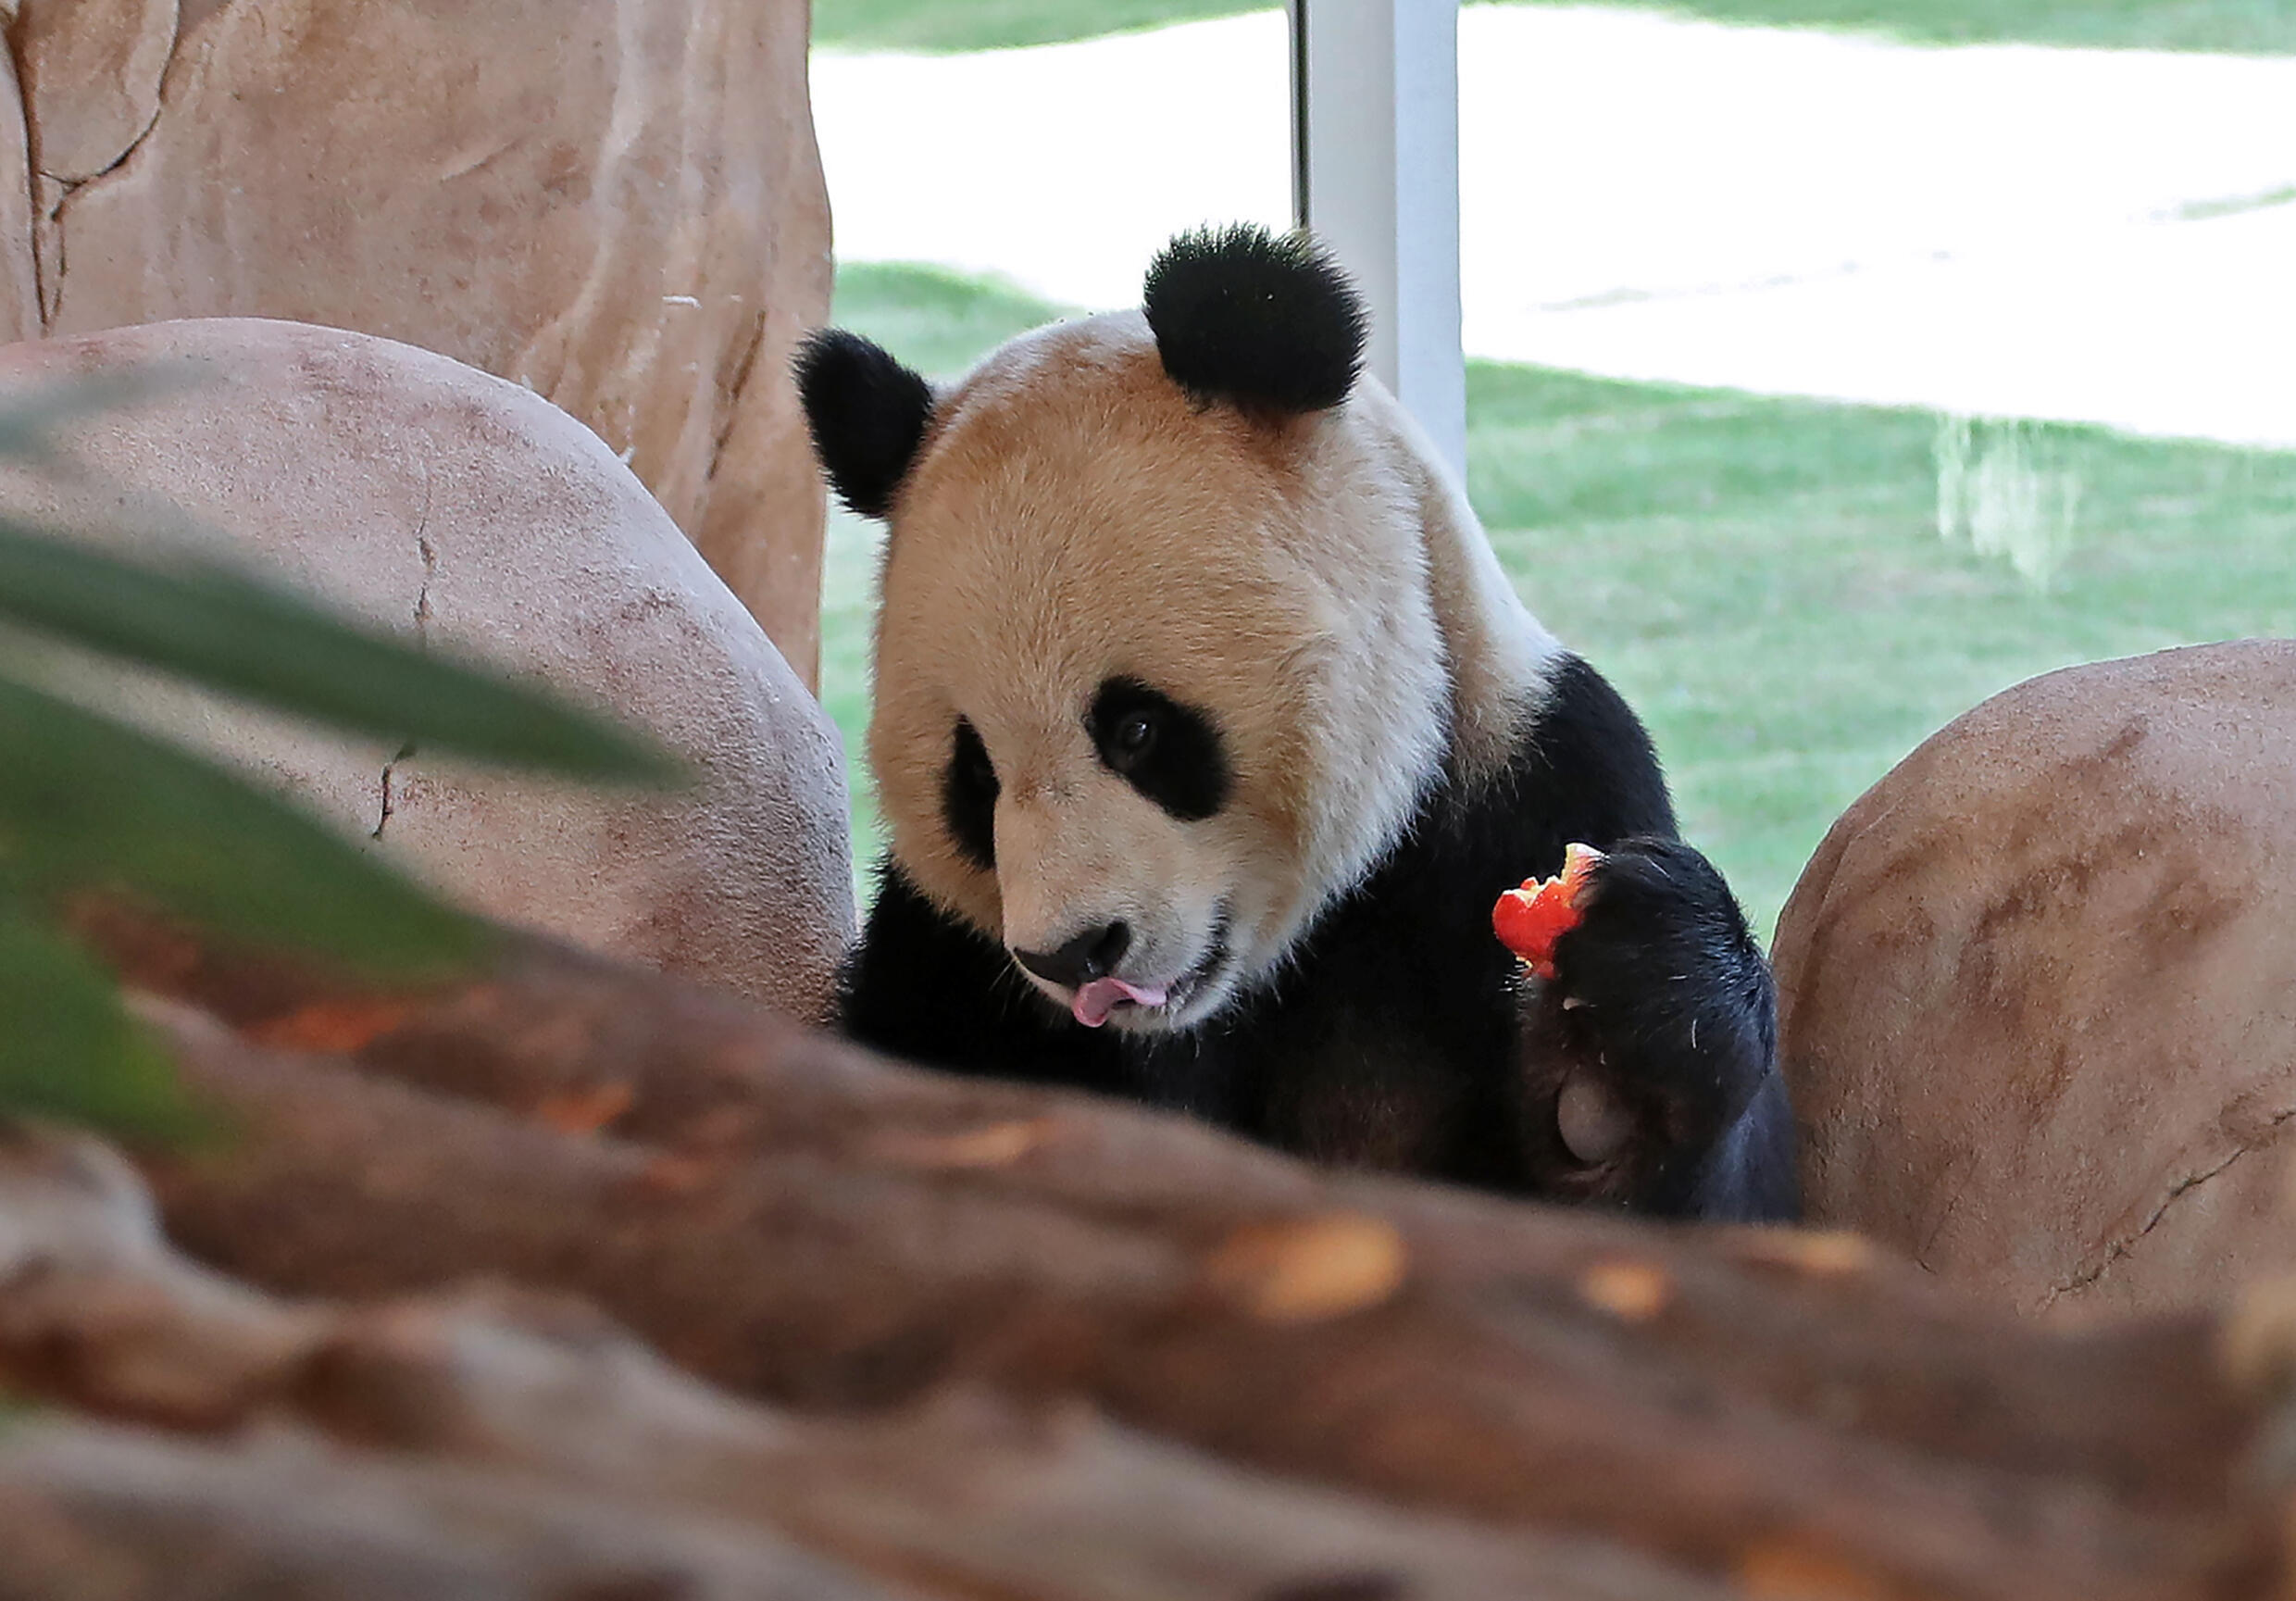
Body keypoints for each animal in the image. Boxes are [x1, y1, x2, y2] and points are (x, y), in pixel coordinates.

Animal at [796, 225, 1795, 1221]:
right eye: (975, 775)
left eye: (1137, 731)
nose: (1073, 954)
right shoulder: (947, 955)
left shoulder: (1542, 776)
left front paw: (1612, 1068)